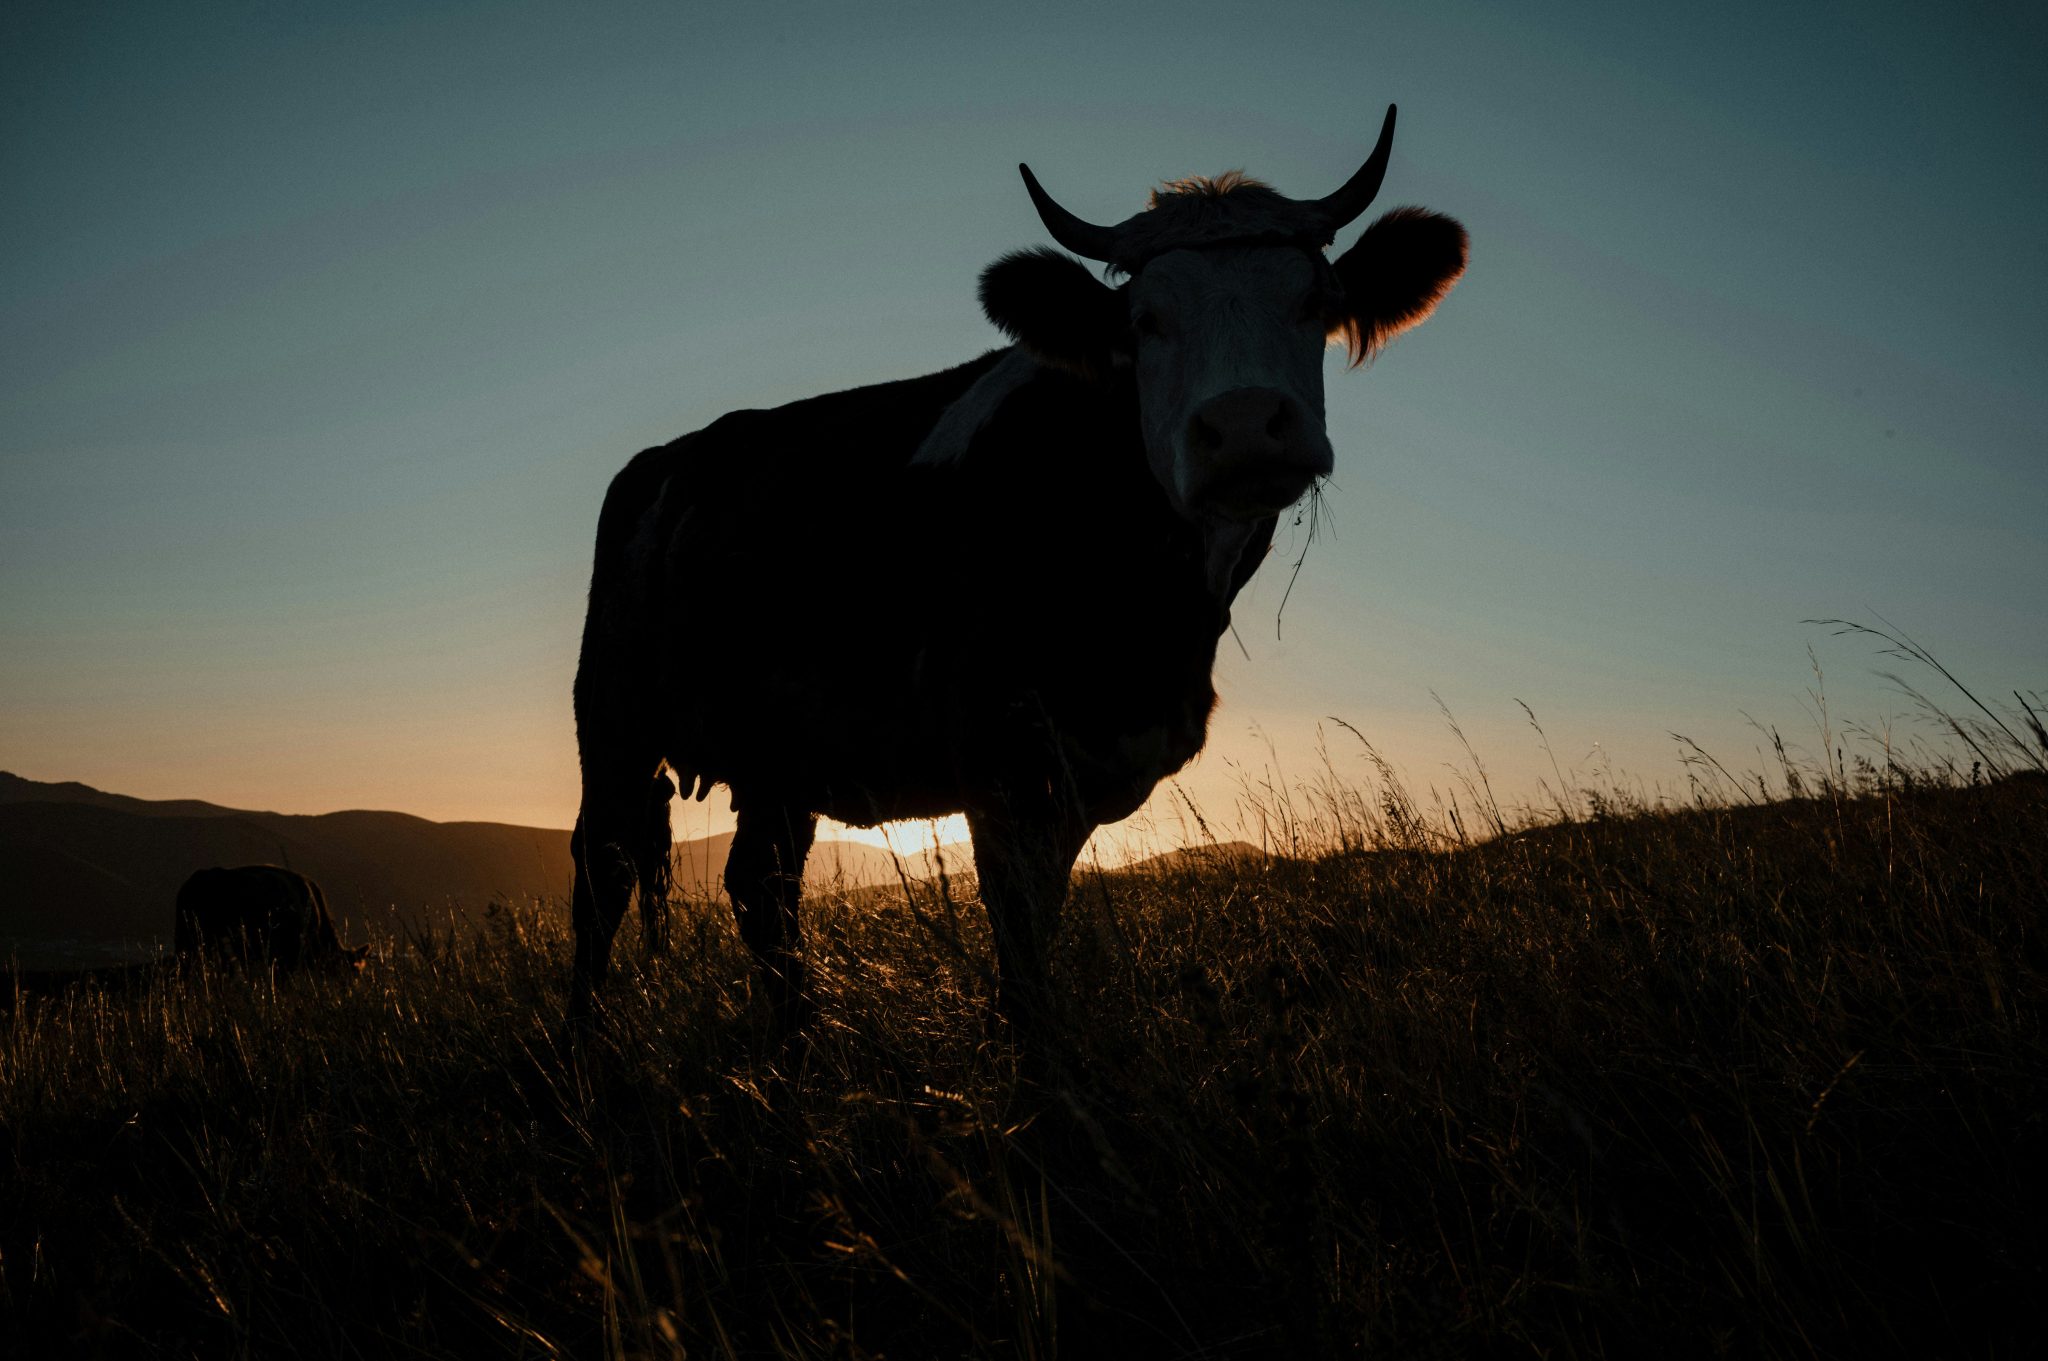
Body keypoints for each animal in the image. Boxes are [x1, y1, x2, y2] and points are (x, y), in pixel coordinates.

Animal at [570, 104, 1466, 1035]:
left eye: (1316, 303)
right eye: (1143, 322)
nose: (1246, 425)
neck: (1149, 620)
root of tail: (666, 457)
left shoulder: (1082, 769)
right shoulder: (1001, 763)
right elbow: (1022, 958)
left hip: (780, 752)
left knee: (761, 886)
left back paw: (799, 1039)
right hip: (613, 721)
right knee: (604, 876)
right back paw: (584, 1044)